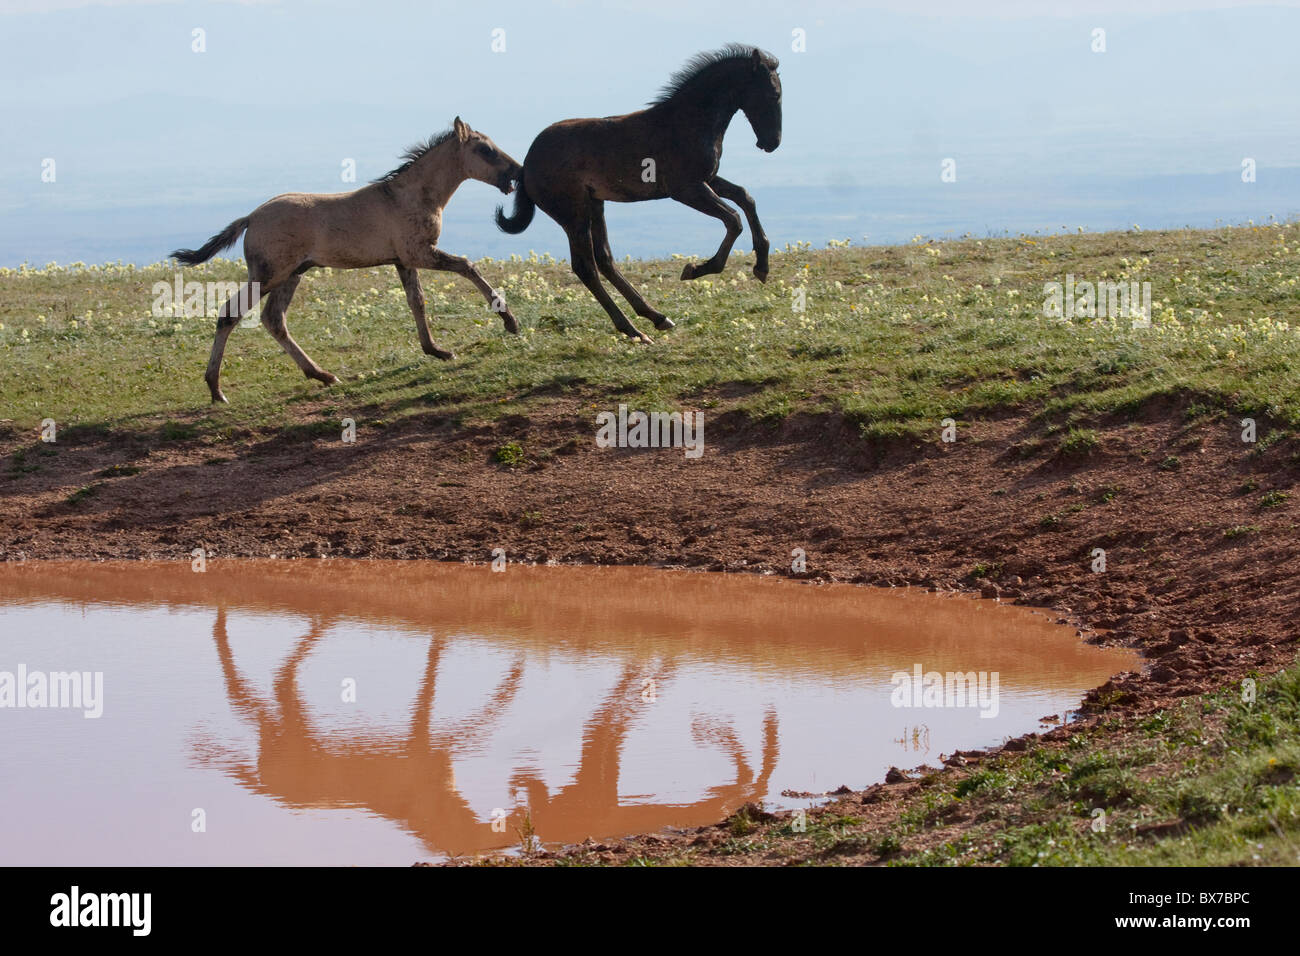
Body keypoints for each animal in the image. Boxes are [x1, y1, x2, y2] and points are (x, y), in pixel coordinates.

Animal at [170, 118, 523, 403]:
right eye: (486, 150)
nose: (518, 171)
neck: (410, 195)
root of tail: (250, 218)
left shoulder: (403, 260)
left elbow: (417, 301)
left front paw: (436, 350)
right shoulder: (420, 253)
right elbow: (467, 267)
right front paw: (510, 322)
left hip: (293, 273)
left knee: (274, 319)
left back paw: (322, 375)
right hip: (270, 273)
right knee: (230, 313)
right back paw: (216, 391)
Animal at [494, 44, 782, 344]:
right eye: (774, 94)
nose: (771, 142)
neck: (689, 121)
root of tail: (527, 166)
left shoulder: (708, 179)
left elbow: (745, 197)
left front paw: (762, 266)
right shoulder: (686, 188)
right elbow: (733, 219)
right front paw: (697, 269)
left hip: (594, 204)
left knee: (605, 260)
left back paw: (656, 317)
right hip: (573, 214)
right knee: (586, 267)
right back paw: (634, 329)